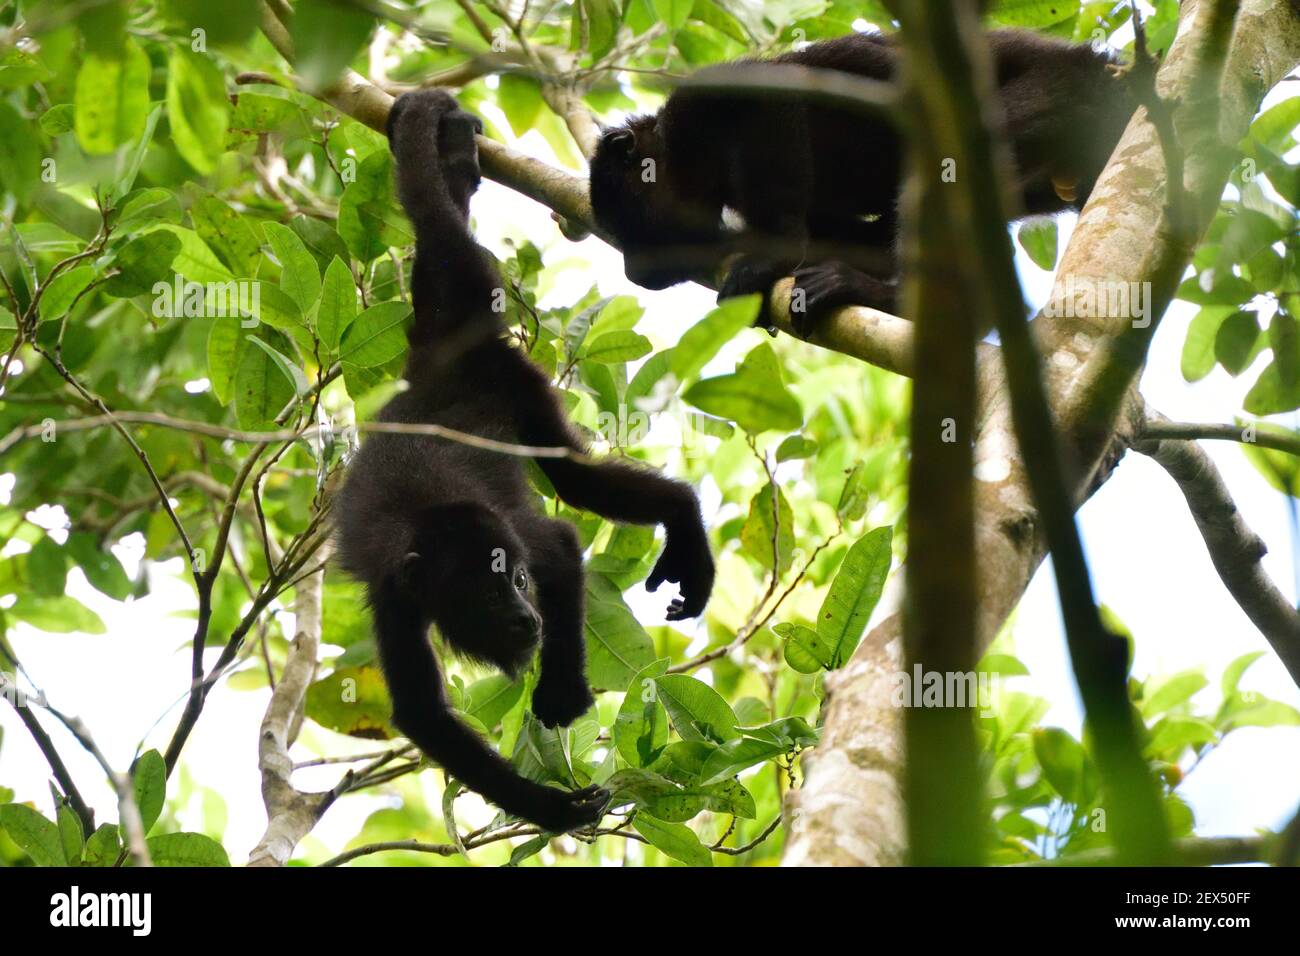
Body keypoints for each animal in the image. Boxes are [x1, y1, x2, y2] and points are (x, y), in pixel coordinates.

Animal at [335, 90, 715, 834]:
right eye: (489, 592)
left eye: (515, 579)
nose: (528, 619)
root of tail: (441, 360)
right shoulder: (396, 591)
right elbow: (423, 715)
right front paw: (553, 808)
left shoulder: (512, 533)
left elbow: (561, 542)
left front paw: (562, 694)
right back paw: (453, 150)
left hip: (521, 382)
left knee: (574, 476)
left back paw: (684, 520)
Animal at [589, 28, 1135, 334]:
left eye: (631, 228)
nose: (633, 273)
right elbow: (857, 232)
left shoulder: (699, 102)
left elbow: (776, 98)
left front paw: (775, 254)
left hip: (1050, 89)